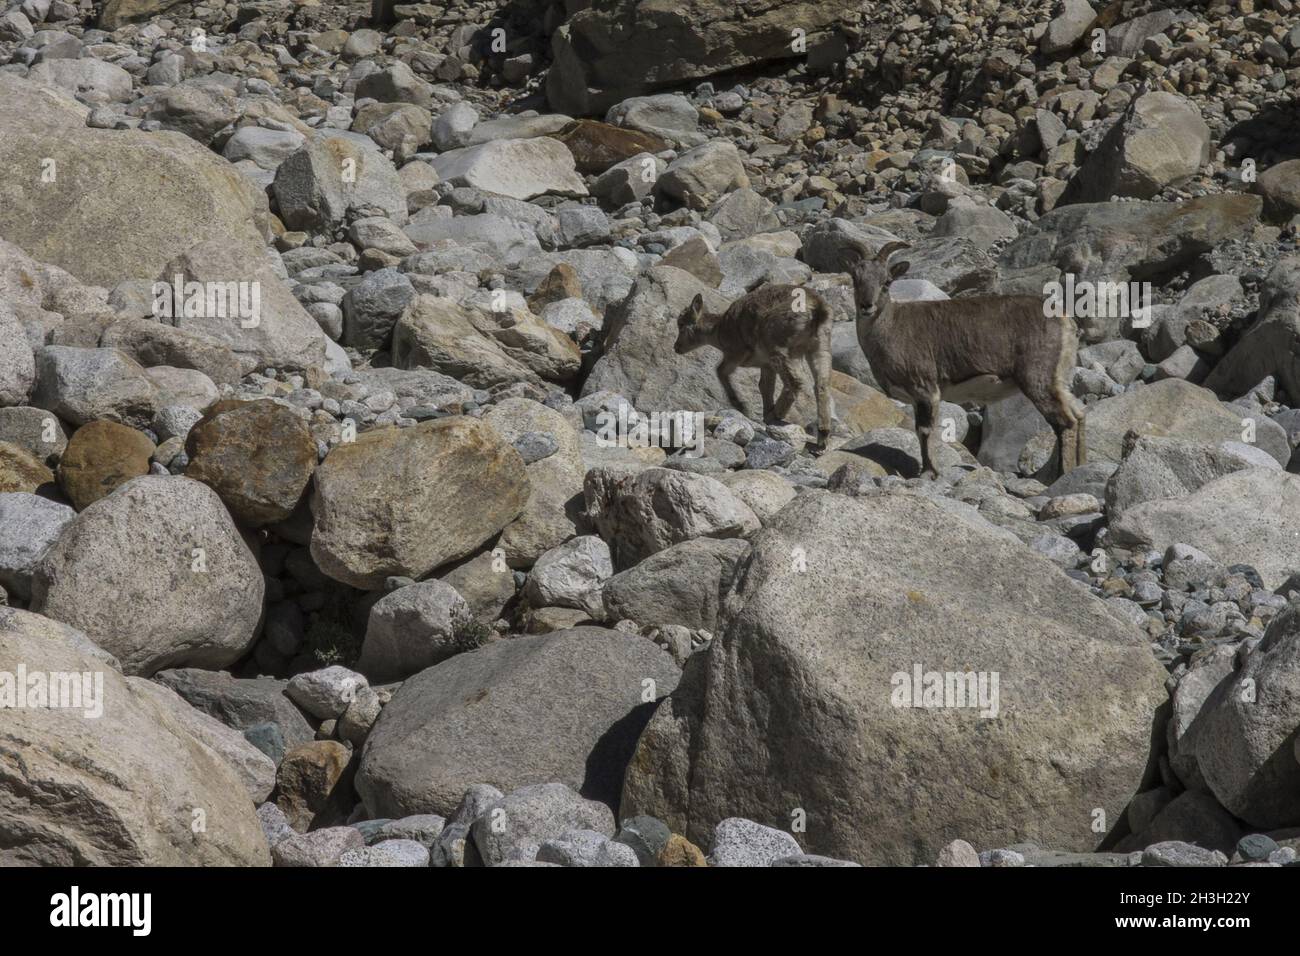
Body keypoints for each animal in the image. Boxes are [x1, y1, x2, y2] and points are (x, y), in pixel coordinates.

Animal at [673, 284, 834, 449]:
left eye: (681, 324)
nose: (676, 347)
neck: (718, 332)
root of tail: (818, 308)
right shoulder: (767, 365)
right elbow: (765, 386)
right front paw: (764, 410)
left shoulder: (737, 352)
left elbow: (720, 370)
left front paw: (740, 405)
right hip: (820, 346)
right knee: (822, 384)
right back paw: (822, 436)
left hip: (777, 344)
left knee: (796, 381)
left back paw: (775, 415)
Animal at [844, 241, 1086, 479]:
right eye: (855, 278)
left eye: (887, 281)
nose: (866, 305)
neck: (892, 325)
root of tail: (1066, 322)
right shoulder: (916, 399)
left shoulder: (925, 389)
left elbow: (925, 431)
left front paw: (929, 473)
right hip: (1058, 380)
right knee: (1079, 413)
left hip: (1037, 378)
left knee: (1065, 422)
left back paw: (1062, 474)